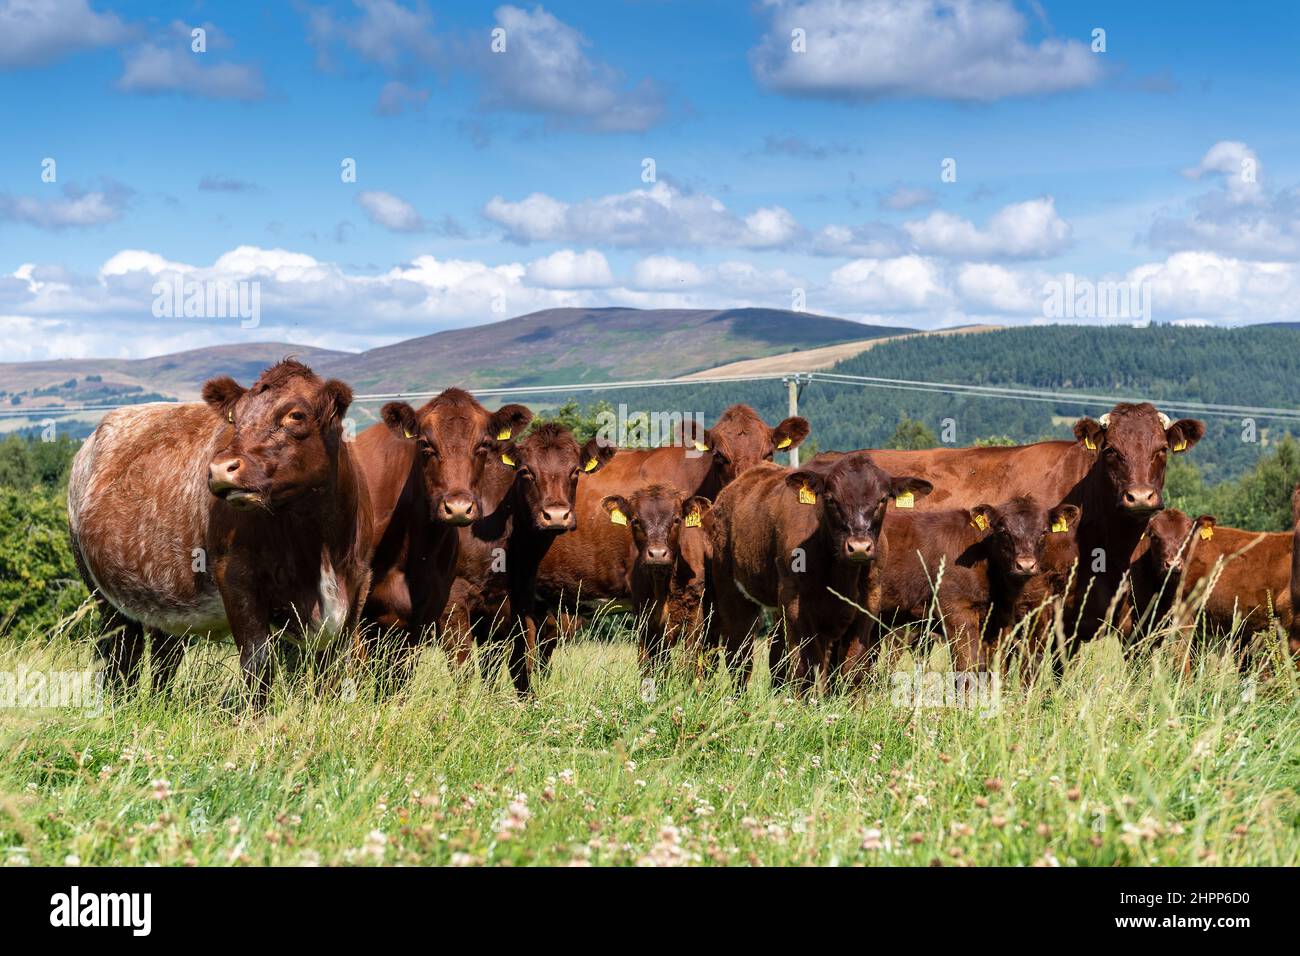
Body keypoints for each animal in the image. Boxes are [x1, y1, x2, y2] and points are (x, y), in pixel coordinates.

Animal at [67, 360, 373, 706]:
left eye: (296, 415)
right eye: (235, 418)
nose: (219, 469)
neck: (318, 545)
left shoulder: (358, 583)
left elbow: (333, 668)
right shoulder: (237, 578)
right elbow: (258, 661)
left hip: (164, 596)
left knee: (163, 654)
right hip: (103, 593)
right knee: (122, 652)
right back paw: (122, 704)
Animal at [442, 422, 614, 693]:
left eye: (575, 471)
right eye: (526, 471)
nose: (556, 515)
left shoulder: (512, 606)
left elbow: (507, 665)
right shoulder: (454, 603)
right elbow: (464, 667)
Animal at [592, 485, 712, 676]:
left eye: (677, 519)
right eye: (635, 520)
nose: (657, 554)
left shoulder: (695, 620)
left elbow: (691, 666)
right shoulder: (644, 621)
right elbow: (648, 667)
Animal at [705, 453, 932, 693]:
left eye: (882, 499)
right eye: (831, 499)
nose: (859, 547)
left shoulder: (869, 602)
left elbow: (852, 668)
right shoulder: (796, 604)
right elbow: (806, 668)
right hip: (732, 591)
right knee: (739, 652)